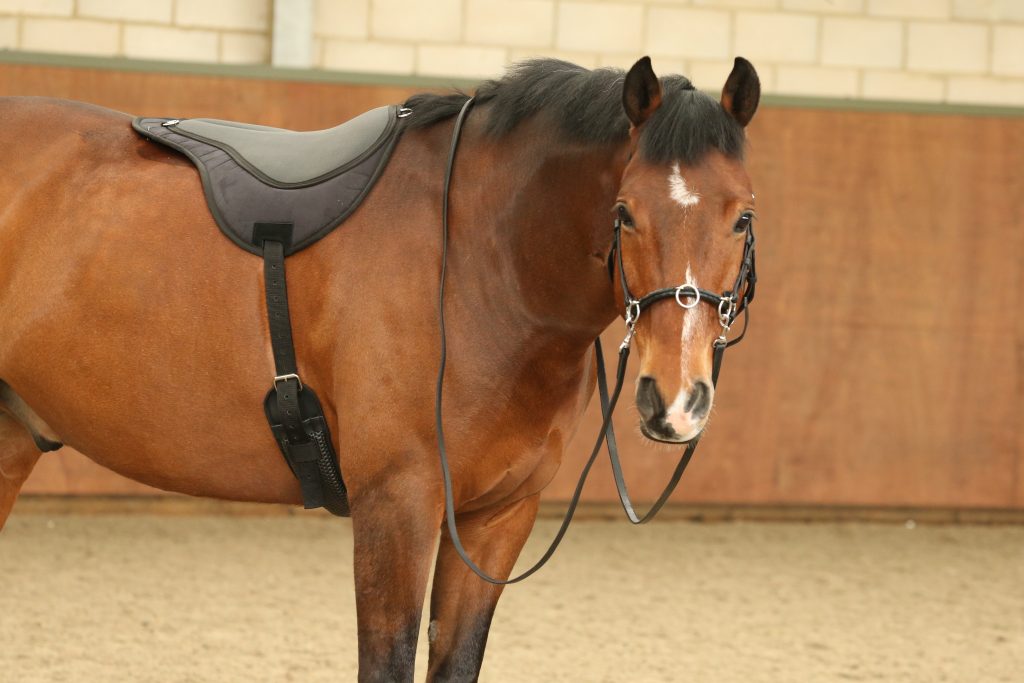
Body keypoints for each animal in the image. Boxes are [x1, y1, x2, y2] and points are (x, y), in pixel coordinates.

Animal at [0, 55, 760, 681]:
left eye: (743, 218)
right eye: (625, 213)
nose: (675, 401)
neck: (480, 262)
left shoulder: (497, 517)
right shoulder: (398, 505)